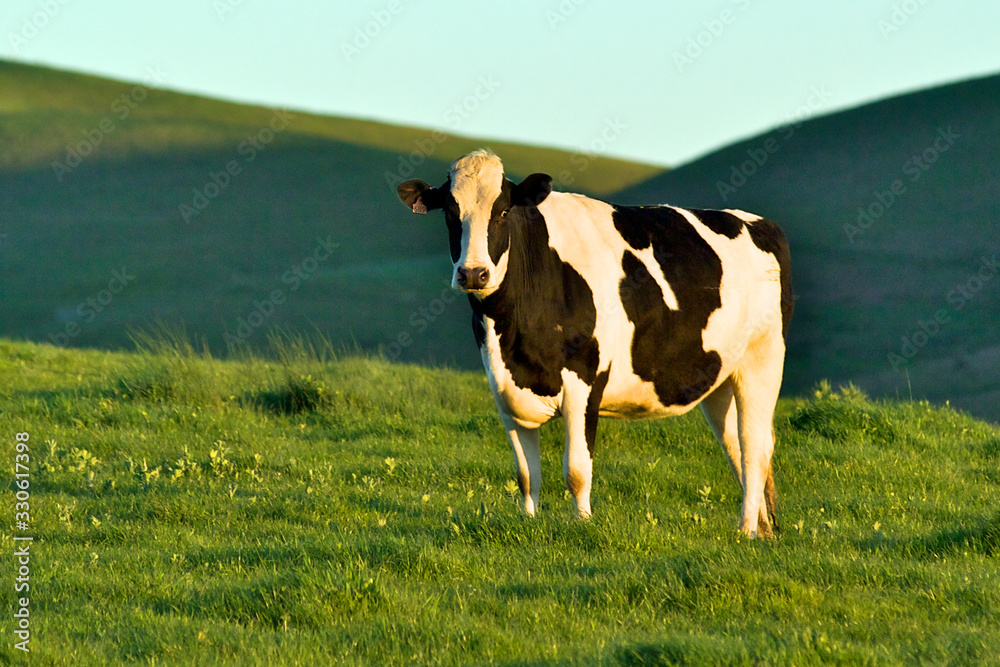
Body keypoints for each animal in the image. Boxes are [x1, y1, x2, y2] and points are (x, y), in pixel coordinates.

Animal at [397, 149, 793, 538]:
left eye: (504, 211)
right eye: (450, 213)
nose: (474, 273)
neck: (514, 333)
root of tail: (758, 222)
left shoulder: (584, 381)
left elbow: (576, 470)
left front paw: (583, 524)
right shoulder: (503, 389)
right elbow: (526, 475)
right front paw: (528, 522)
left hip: (763, 356)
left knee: (755, 447)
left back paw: (746, 530)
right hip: (721, 374)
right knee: (735, 447)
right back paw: (762, 529)